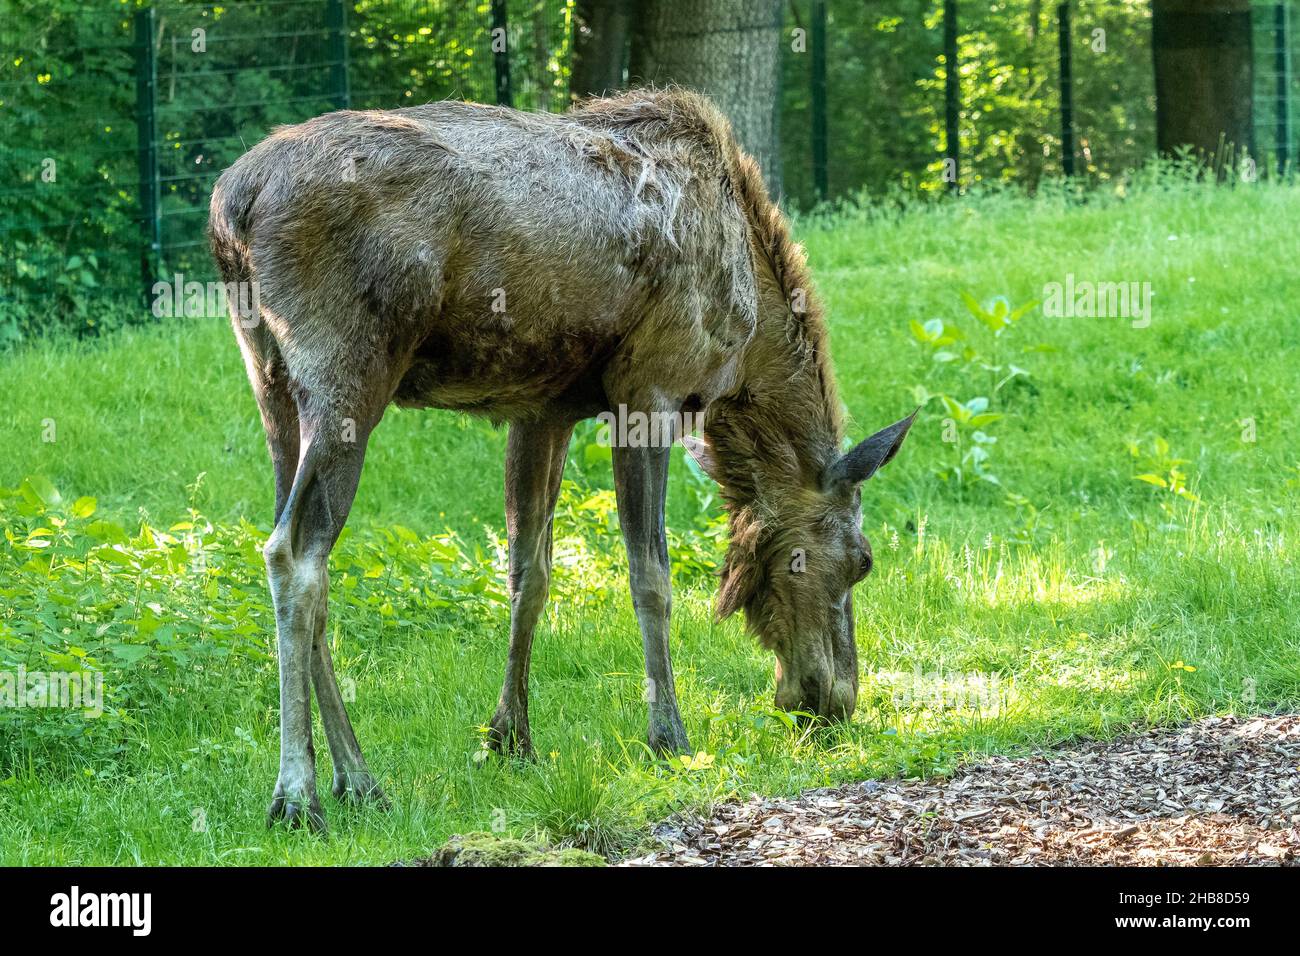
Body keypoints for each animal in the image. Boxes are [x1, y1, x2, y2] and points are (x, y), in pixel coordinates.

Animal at [209, 88, 914, 832]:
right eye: (862, 561)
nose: (833, 701)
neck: (748, 348)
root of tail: (233, 208)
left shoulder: (541, 408)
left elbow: (530, 573)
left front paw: (510, 737)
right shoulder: (651, 388)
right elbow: (651, 575)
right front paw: (668, 734)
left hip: (272, 383)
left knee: (294, 543)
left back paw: (359, 779)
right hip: (346, 374)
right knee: (293, 552)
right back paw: (299, 793)